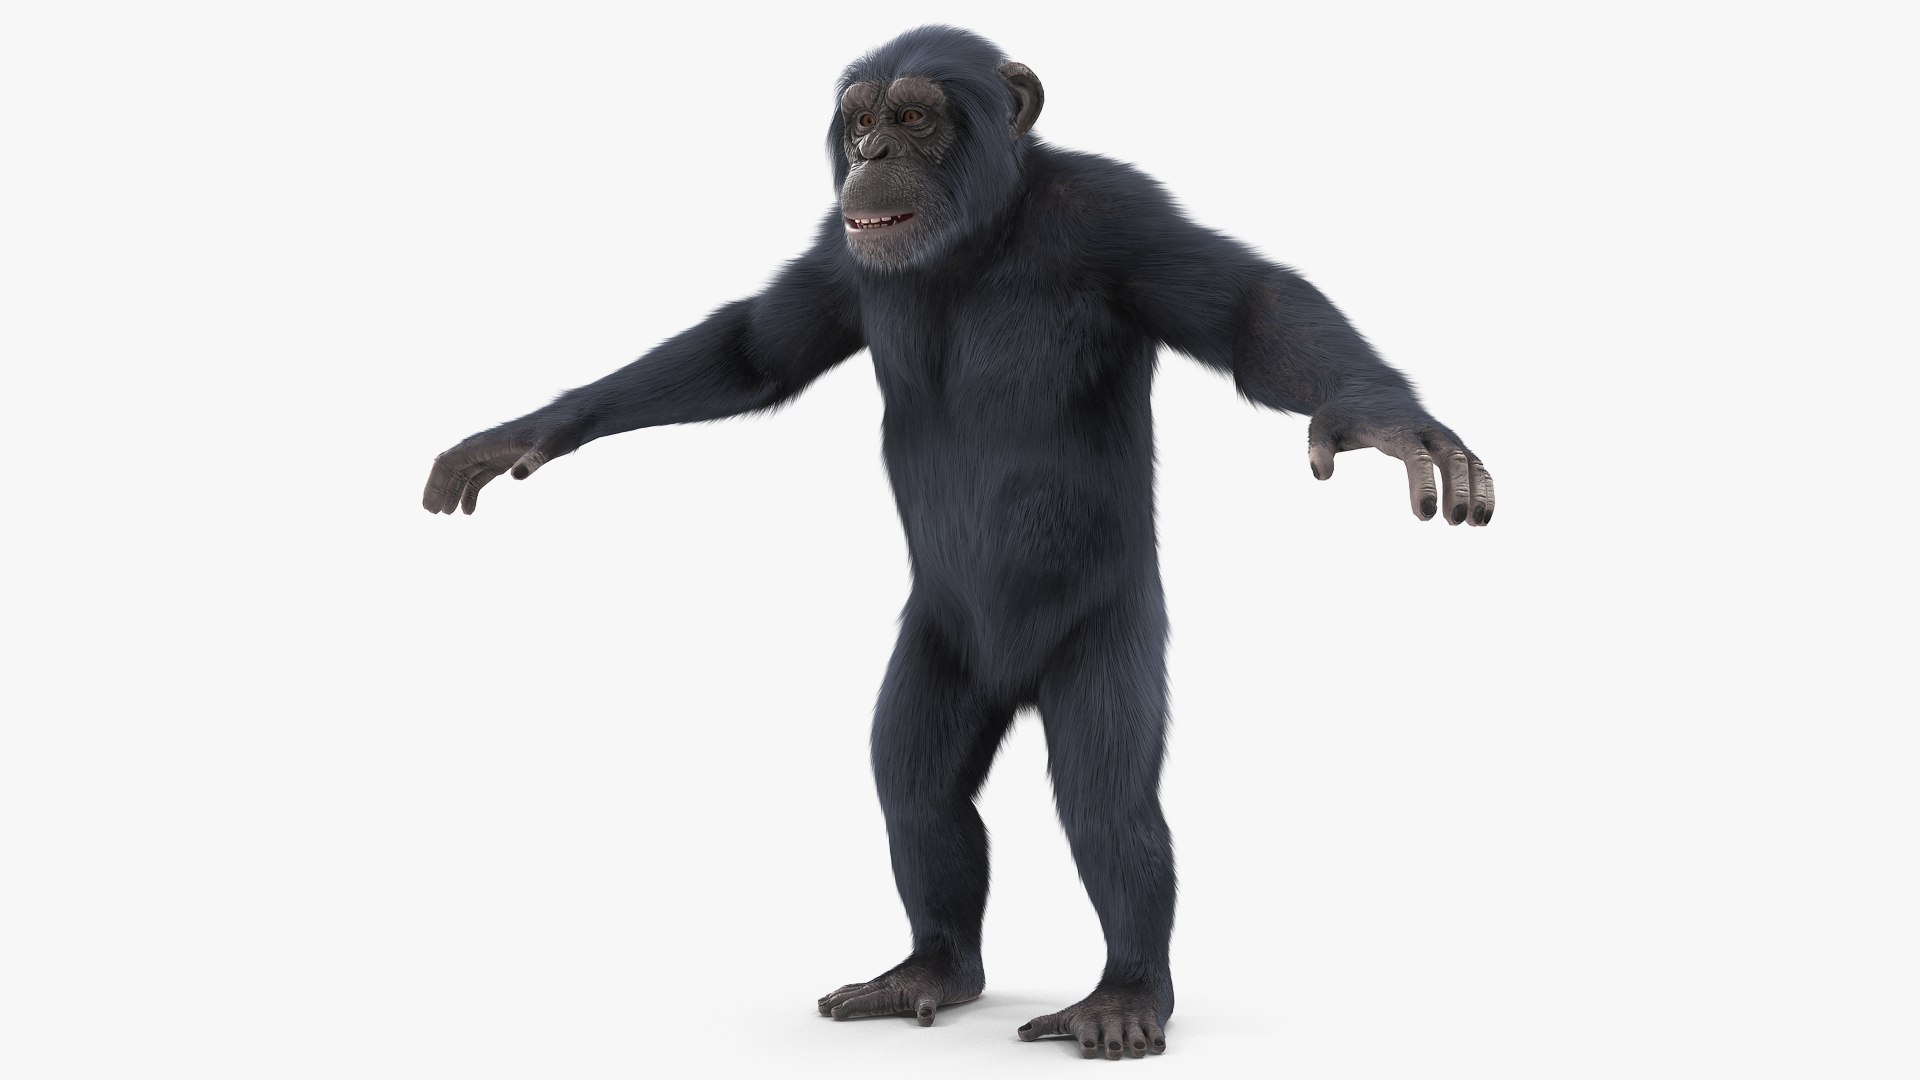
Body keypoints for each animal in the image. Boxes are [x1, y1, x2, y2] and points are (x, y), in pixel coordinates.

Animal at [421, 25, 1494, 1061]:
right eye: (859, 122)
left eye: (912, 117)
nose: (873, 155)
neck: (982, 235)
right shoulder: (840, 253)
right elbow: (754, 350)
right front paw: (527, 433)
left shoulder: (1121, 214)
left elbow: (1253, 311)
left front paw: (1388, 424)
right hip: (942, 646)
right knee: (917, 784)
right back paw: (931, 969)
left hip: (1109, 633)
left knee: (1108, 801)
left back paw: (1125, 994)